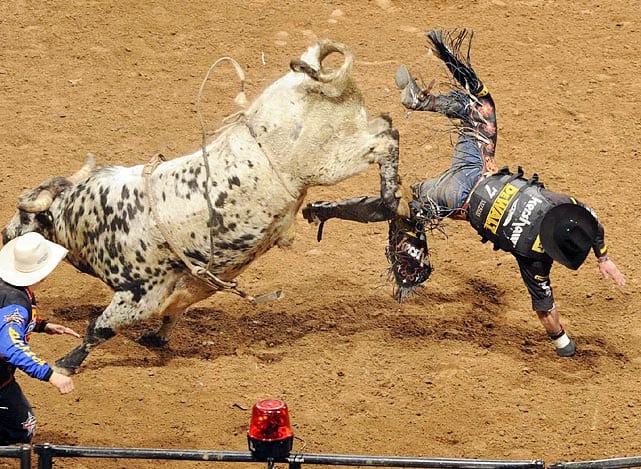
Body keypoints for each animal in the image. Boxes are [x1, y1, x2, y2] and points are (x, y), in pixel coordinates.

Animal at [2, 40, 406, 375]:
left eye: (24, 216)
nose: (5, 232)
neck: (90, 216)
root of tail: (305, 76)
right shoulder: (194, 283)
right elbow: (173, 313)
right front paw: (157, 338)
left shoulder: (139, 293)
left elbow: (98, 328)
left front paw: (67, 363)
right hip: (348, 137)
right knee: (385, 123)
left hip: (331, 162)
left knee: (387, 140)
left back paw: (390, 199)